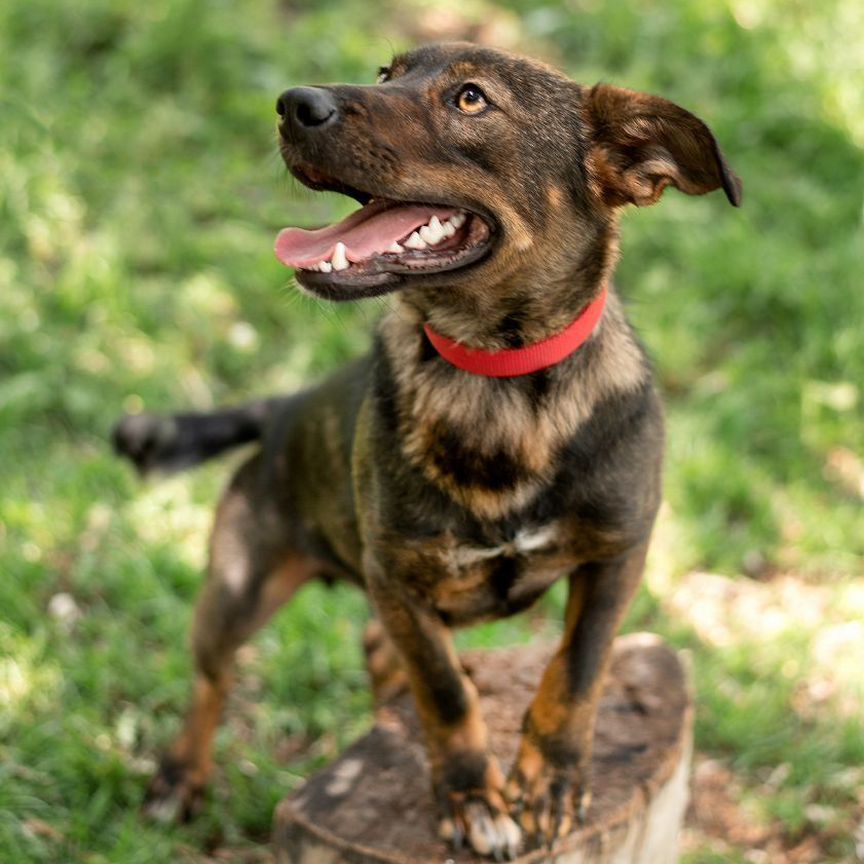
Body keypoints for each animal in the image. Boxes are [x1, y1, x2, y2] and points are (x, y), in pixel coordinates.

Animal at [111, 44, 740, 860]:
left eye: (470, 99)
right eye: (387, 74)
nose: (292, 104)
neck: (499, 385)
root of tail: (282, 407)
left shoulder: (618, 554)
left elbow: (578, 667)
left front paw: (550, 777)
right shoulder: (399, 577)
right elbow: (443, 694)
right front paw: (472, 797)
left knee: (383, 654)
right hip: (239, 586)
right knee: (214, 679)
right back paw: (182, 774)